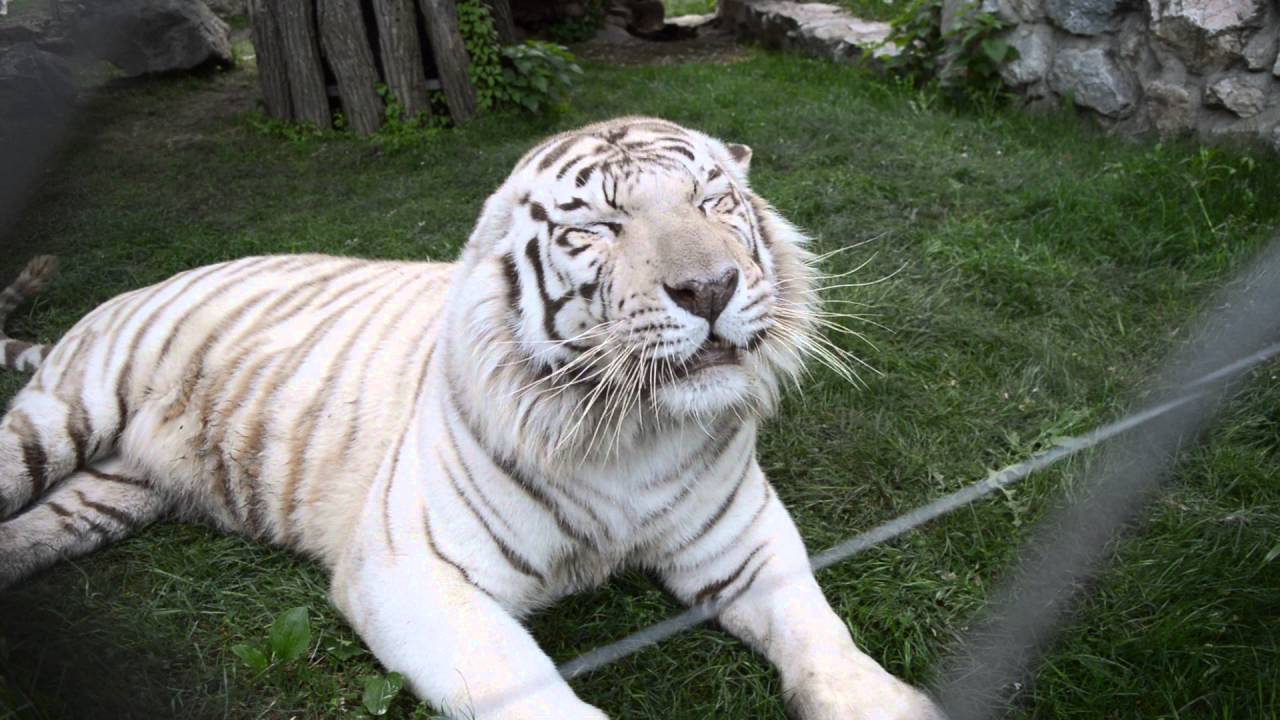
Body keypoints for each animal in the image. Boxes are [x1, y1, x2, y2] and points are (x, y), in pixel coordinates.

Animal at [0, 117, 942, 719]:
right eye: (600, 226)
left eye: (714, 202)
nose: (710, 288)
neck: (631, 432)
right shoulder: (413, 571)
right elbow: (529, 695)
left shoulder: (745, 539)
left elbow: (823, 636)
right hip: (59, 419)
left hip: (109, 495)